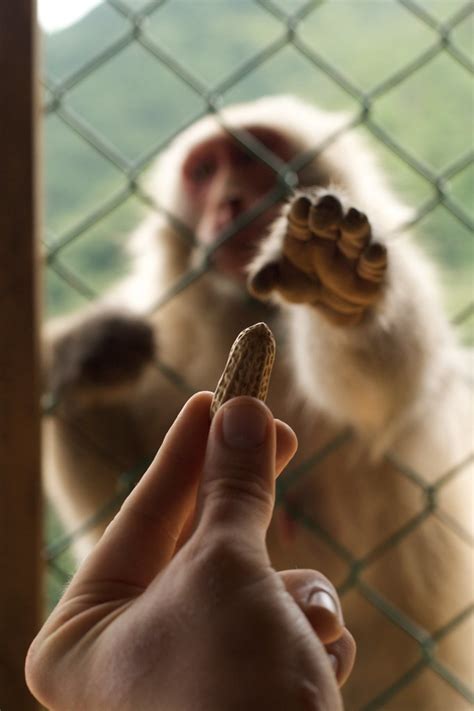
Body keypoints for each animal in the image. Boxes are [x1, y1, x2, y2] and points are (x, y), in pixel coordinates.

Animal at [43, 95, 473, 710]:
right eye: (205, 171)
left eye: (253, 158)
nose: (229, 201)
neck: (241, 308)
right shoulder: (168, 352)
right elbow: (109, 509)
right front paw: (85, 355)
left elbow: (385, 391)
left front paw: (334, 281)